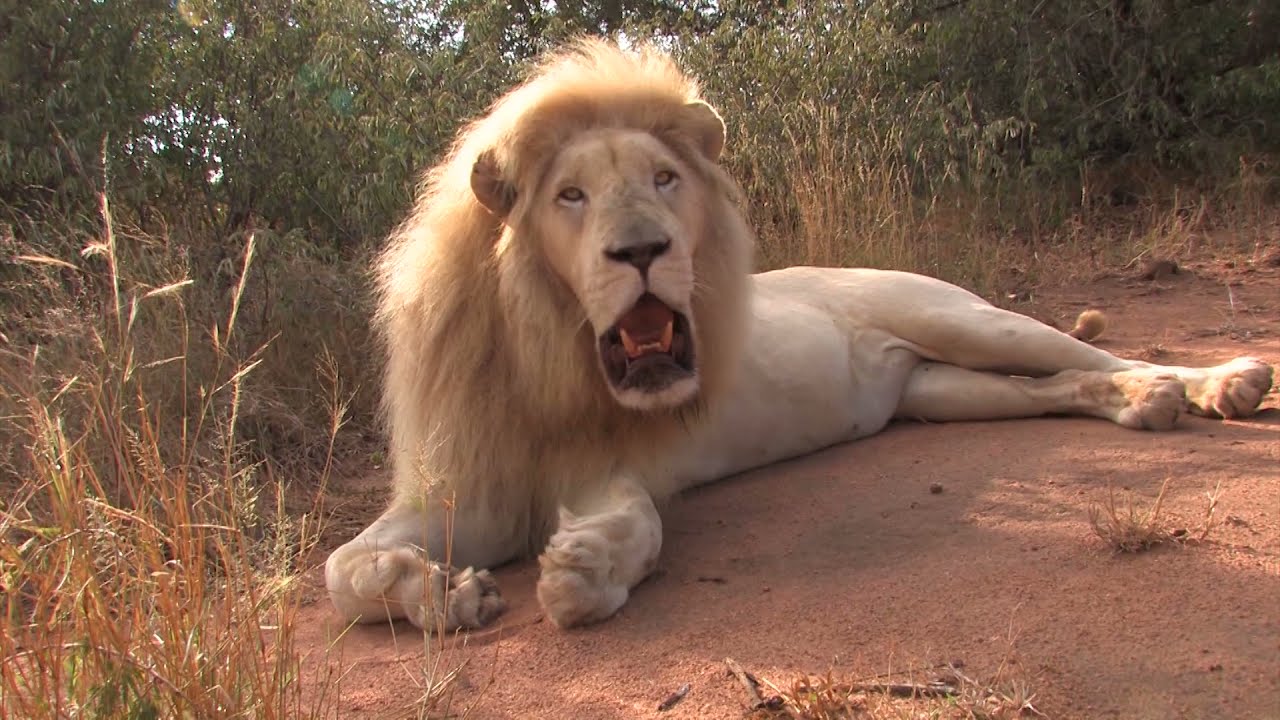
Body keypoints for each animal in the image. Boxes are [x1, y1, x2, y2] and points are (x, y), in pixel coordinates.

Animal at [325, 38, 1275, 633]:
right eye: (571, 196)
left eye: (664, 179)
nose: (643, 249)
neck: (543, 358)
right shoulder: (469, 492)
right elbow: (342, 571)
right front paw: (443, 595)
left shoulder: (613, 469)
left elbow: (641, 527)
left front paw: (583, 571)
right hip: (940, 390)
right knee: (1051, 390)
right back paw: (1140, 404)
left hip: (963, 319)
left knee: (1090, 352)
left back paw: (1211, 382)